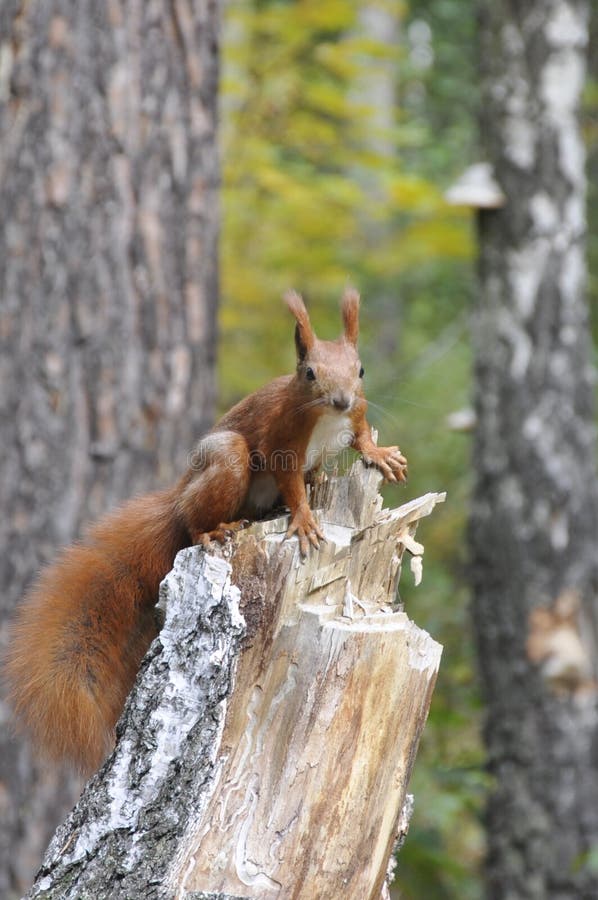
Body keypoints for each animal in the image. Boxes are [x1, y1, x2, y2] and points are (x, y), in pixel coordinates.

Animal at [5, 288, 407, 774]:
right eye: (309, 372)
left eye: (360, 370)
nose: (342, 401)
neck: (325, 419)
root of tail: (178, 497)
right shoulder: (283, 438)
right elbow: (290, 482)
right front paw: (306, 520)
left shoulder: (359, 412)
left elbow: (360, 434)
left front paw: (380, 454)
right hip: (225, 463)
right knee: (197, 518)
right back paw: (212, 531)